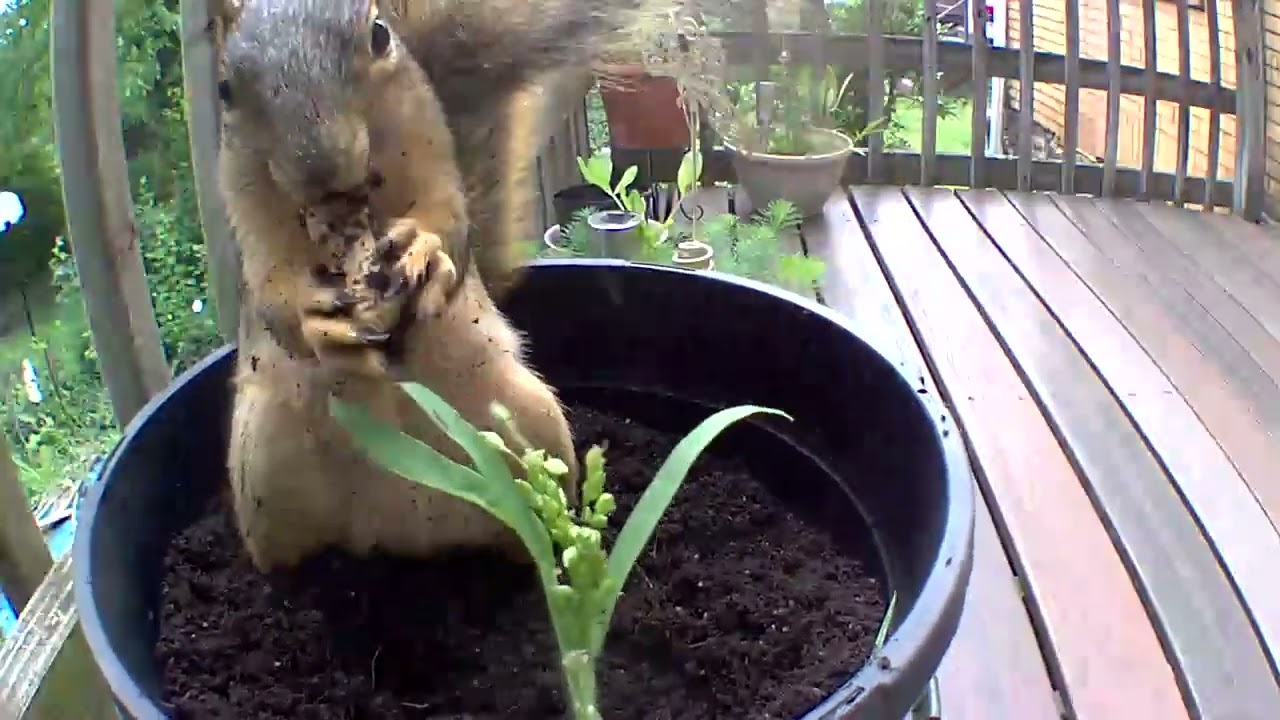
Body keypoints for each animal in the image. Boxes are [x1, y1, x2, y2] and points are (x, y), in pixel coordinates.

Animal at [212, 0, 652, 572]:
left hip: (534, 424)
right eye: (225, 88)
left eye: (379, 35)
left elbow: (447, 217)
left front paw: (422, 248)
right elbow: (270, 286)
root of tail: (402, 533)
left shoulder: (433, 151)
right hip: (260, 466)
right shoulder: (245, 205)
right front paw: (316, 320)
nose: (319, 166)